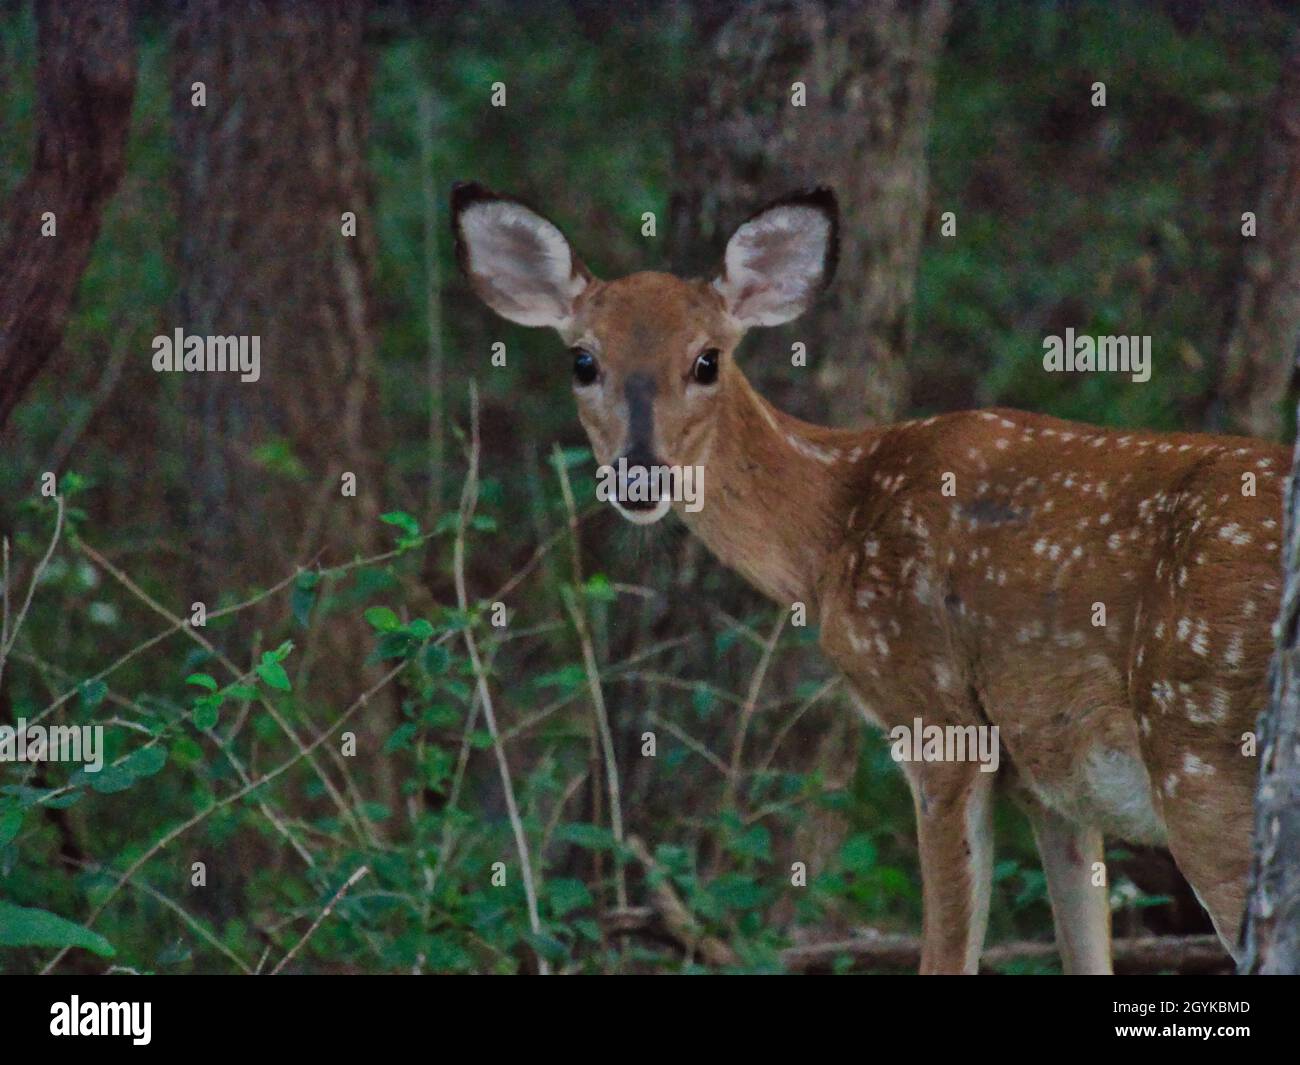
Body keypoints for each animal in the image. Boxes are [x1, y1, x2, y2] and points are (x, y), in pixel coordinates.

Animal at [451, 181, 1286, 974]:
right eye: (583, 360)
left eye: (706, 359)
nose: (640, 476)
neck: (835, 527)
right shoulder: (1054, 778)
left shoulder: (935, 712)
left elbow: (946, 954)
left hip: (1204, 752)